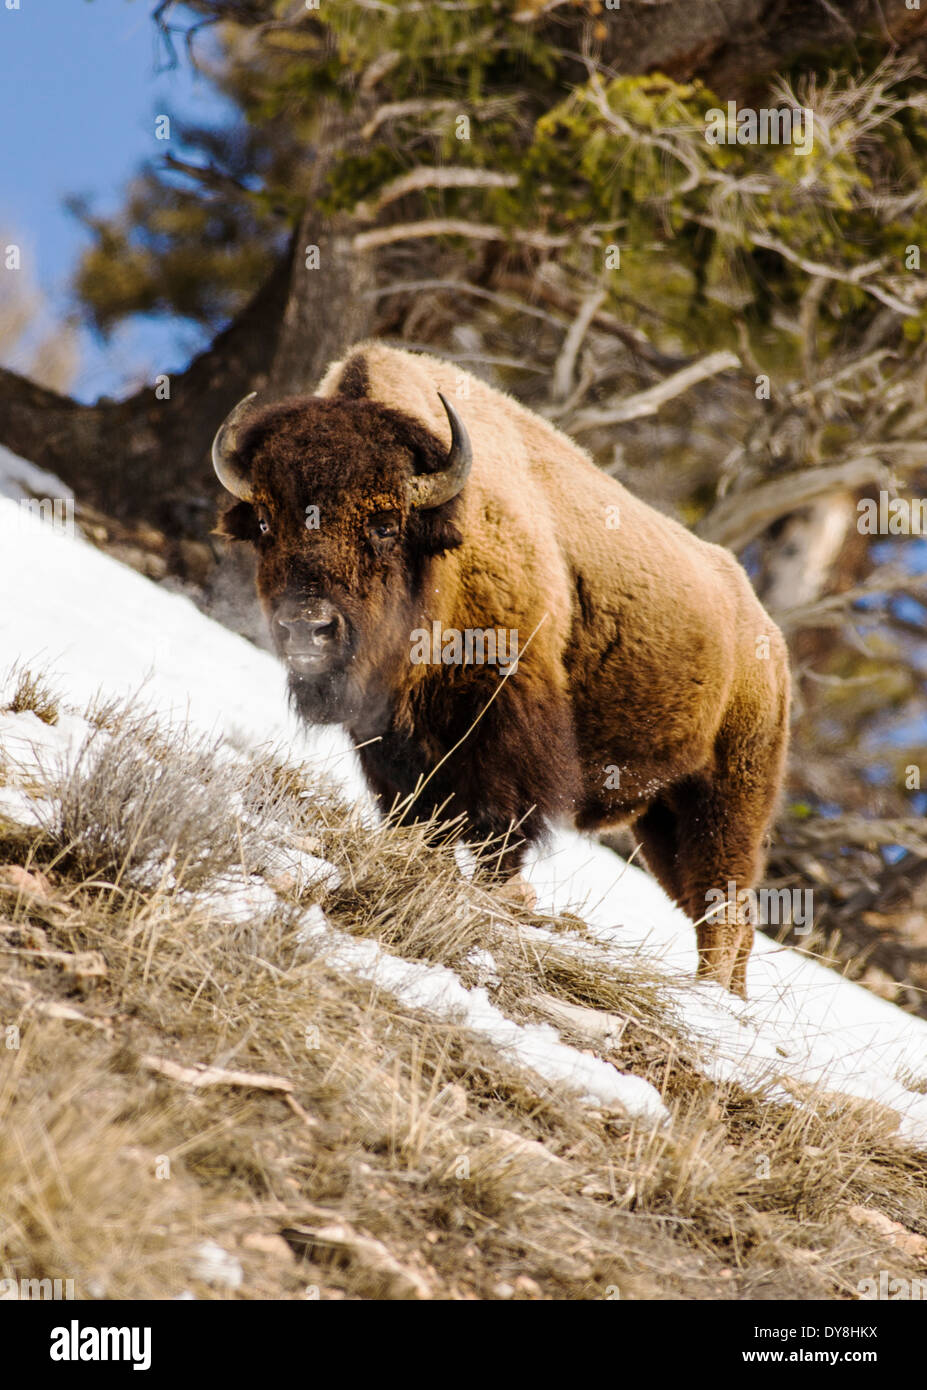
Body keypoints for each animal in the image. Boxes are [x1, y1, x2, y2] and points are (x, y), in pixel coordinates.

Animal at [213, 342, 790, 996]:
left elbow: (498, 837)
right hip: (661, 820)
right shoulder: (391, 748)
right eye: (264, 521)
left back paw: (711, 995)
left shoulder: (507, 739)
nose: (307, 626)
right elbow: (419, 823)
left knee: (725, 908)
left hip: (726, 799)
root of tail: (768, 638)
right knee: (718, 913)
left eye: (385, 523)